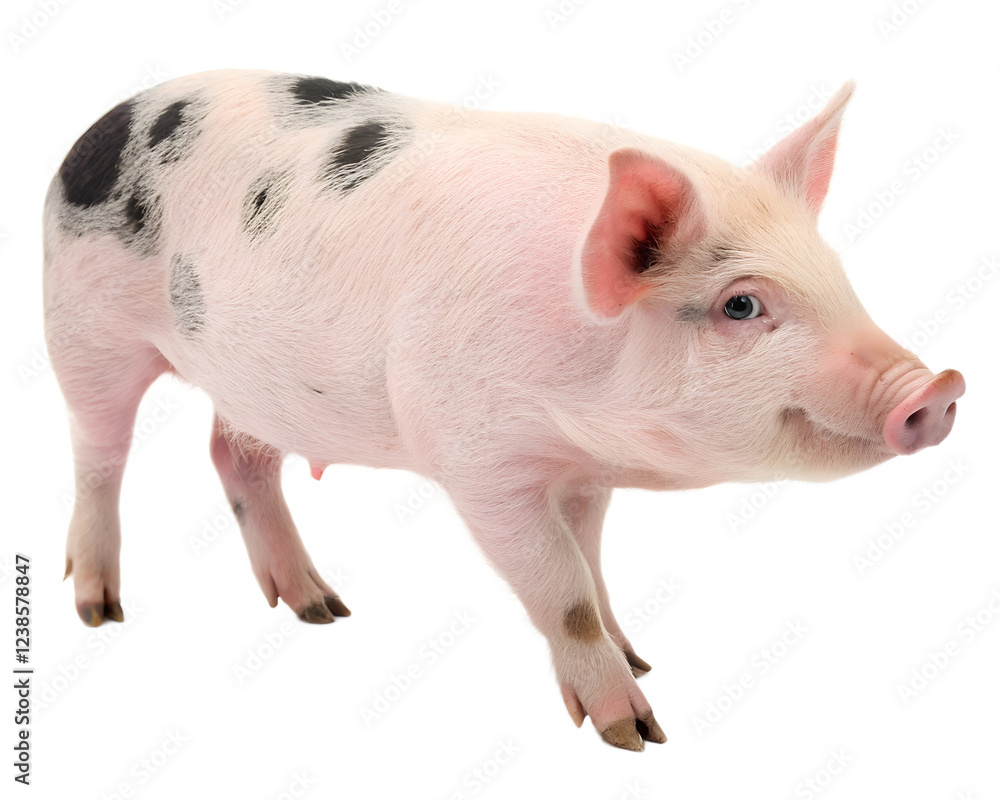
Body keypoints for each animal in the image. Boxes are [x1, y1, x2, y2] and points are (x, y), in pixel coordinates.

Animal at [43, 70, 964, 750]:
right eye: (741, 305)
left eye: (838, 276)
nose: (942, 387)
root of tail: (102, 124)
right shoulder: (477, 462)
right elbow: (559, 586)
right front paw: (636, 732)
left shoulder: (582, 474)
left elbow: (592, 565)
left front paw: (641, 659)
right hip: (84, 330)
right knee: (98, 455)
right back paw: (98, 608)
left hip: (252, 380)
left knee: (235, 455)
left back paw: (322, 608)